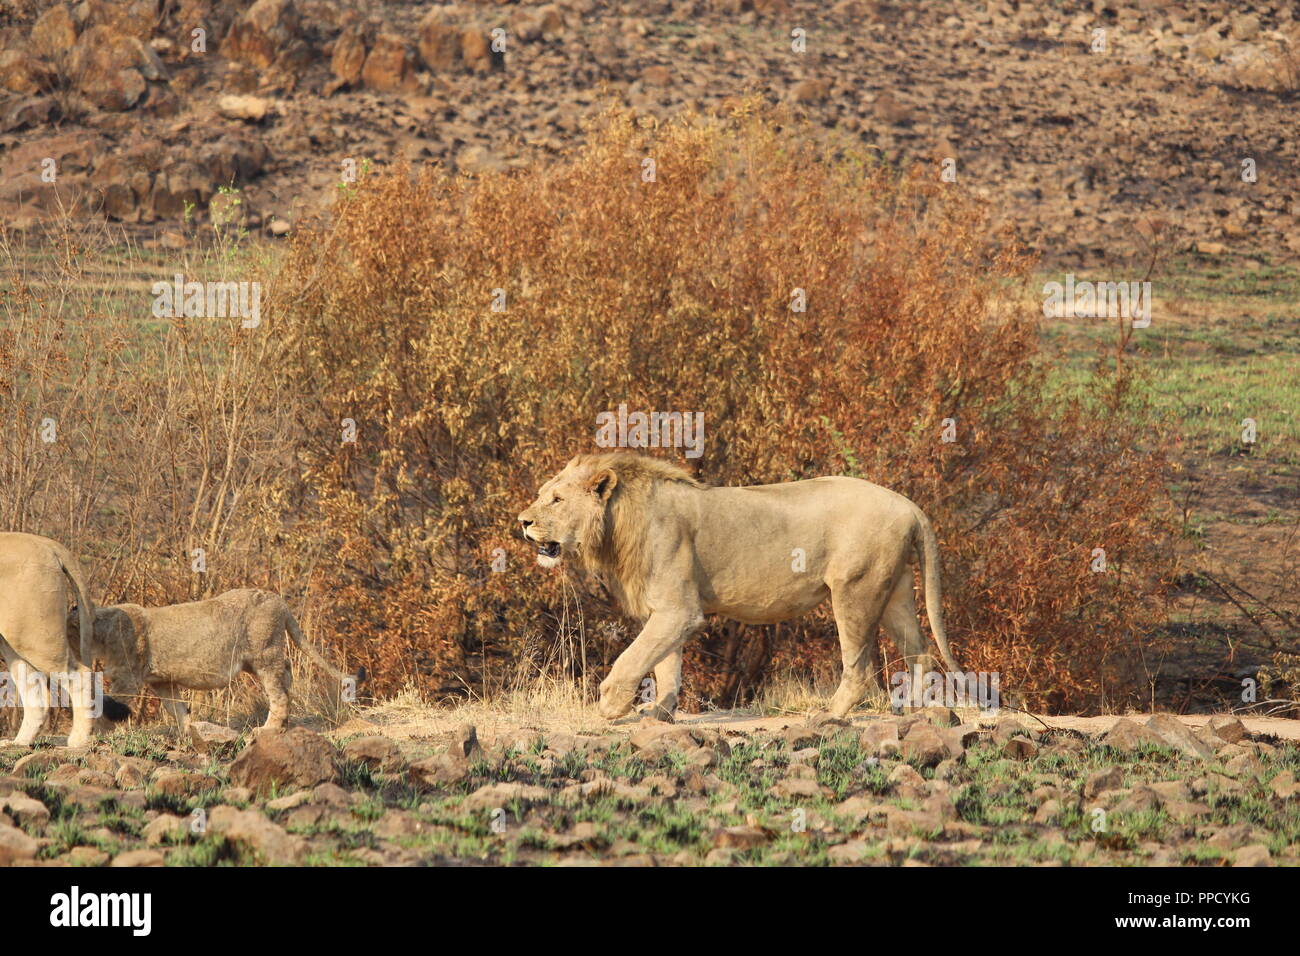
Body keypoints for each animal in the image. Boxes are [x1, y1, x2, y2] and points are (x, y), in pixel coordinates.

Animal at [0, 532, 129, 748]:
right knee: (37, 696)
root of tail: (48, 543)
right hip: (17, 642)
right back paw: (19, 742)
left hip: (35, 637)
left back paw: (77, 740)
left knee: (79, 675)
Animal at [67, 588, 362, 734]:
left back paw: (269, 727)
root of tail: (278, 599)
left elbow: (109, 705)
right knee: (287, 676)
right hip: (256, 659)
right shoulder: (163, 681)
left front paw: (95, 732)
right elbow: (177, 708)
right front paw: (189, 732)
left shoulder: (127, 677)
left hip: (264, 652)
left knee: (278, 691)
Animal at [518, 453, 959, 721]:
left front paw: (611, 703)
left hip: (855, 590)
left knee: (861, 667)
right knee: (921, 652)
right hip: (894, 590)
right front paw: (659, 713)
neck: (618, 523)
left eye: (556, 500)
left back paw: (829, 715)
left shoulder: (680, 609)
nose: (522, 521)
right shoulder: (667, 609)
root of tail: (909, 505)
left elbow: (634, 656)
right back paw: (915, 712)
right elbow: (665, 665)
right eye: (541, 495)